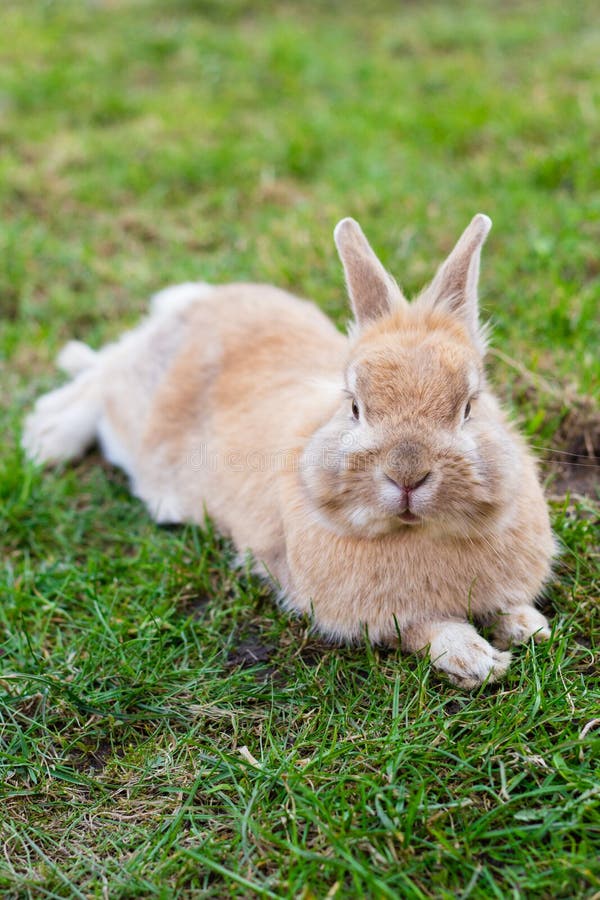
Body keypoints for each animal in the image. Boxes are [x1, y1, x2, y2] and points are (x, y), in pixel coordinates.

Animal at [22, 214, 556, 688]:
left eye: (469, 406)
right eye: (355, 406)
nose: (407, 474)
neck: (416, 533)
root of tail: (194, 305)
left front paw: (530, 627)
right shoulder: (361, 613)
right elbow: (424, 628)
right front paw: (475, 660)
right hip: (135, 413)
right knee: (104, 374)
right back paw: (47, 437)